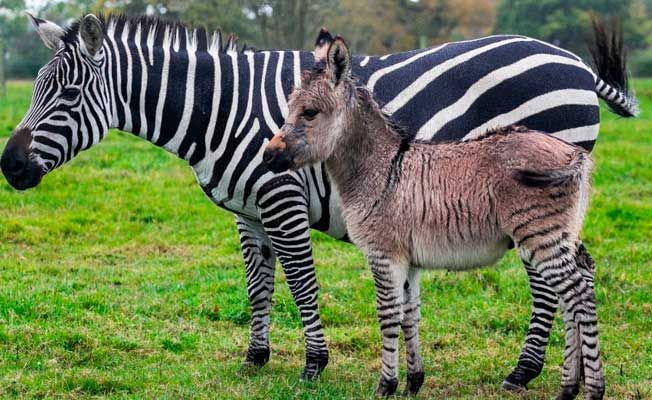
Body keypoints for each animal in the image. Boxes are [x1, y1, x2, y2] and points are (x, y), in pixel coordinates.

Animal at [0, 13, 637, 388]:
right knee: (573, 272)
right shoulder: (248, 211)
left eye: (69, 95)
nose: (9, 167)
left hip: (535, 200)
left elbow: (302, 283)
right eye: (34, 91)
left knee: (550, 282)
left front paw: (313, 362)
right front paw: (256, 357)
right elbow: (258, 285)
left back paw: (524, 371)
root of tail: (572, 60)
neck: (217, 109)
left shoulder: (281, 197)